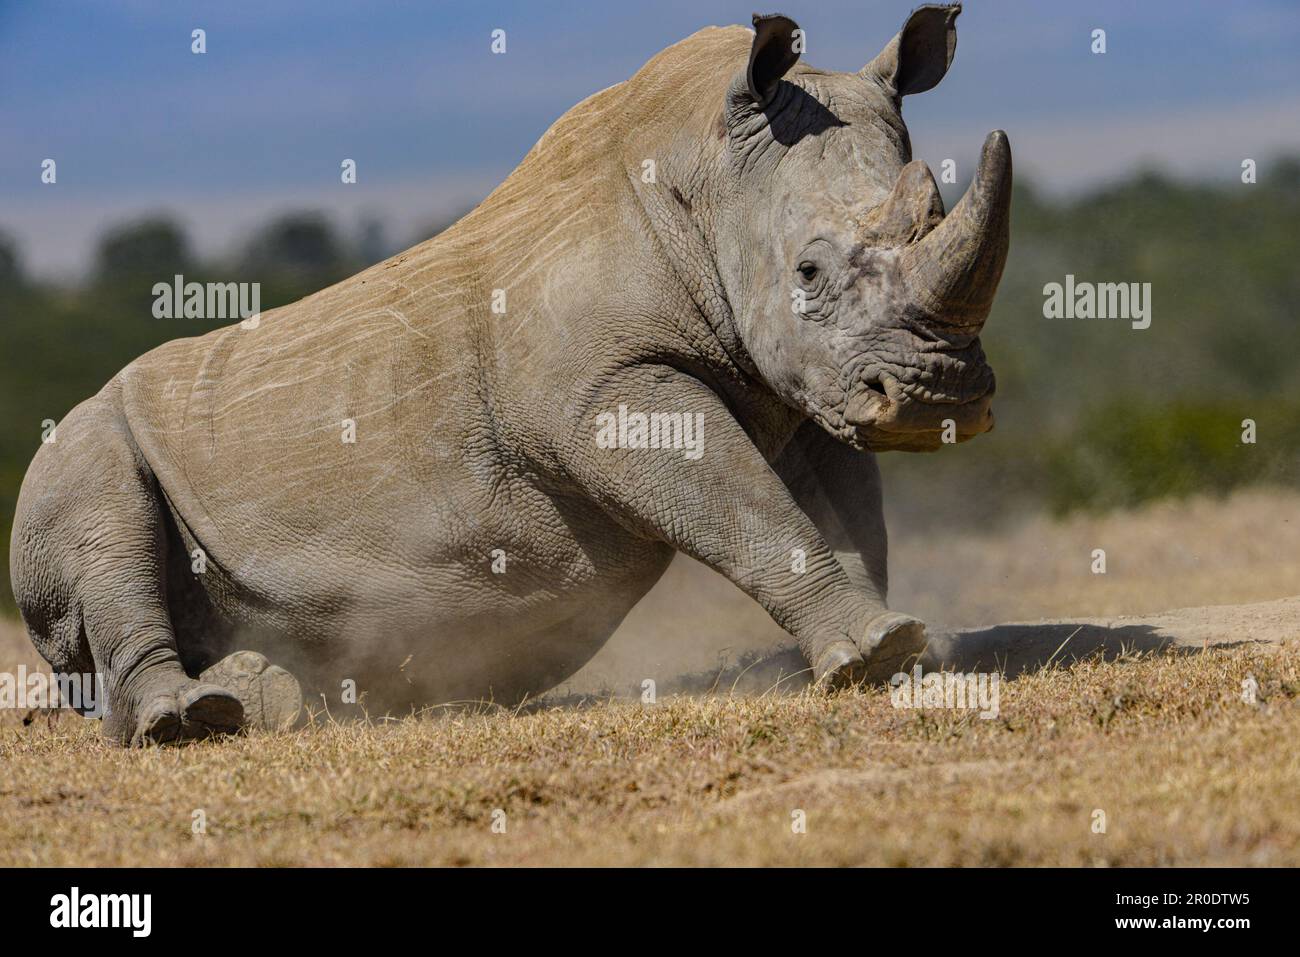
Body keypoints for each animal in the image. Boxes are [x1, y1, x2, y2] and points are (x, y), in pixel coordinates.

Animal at [9, 4, 1010, 745]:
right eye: (806, 270)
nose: (935, 395)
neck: (707, 173)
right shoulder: (613, 388)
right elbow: (751, 507)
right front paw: (869, 655)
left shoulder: (800, 382)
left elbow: (842, 515)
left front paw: (898, 646)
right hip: (78, 444)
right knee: (102, 511)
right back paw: (193, 720)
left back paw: (288, 697)